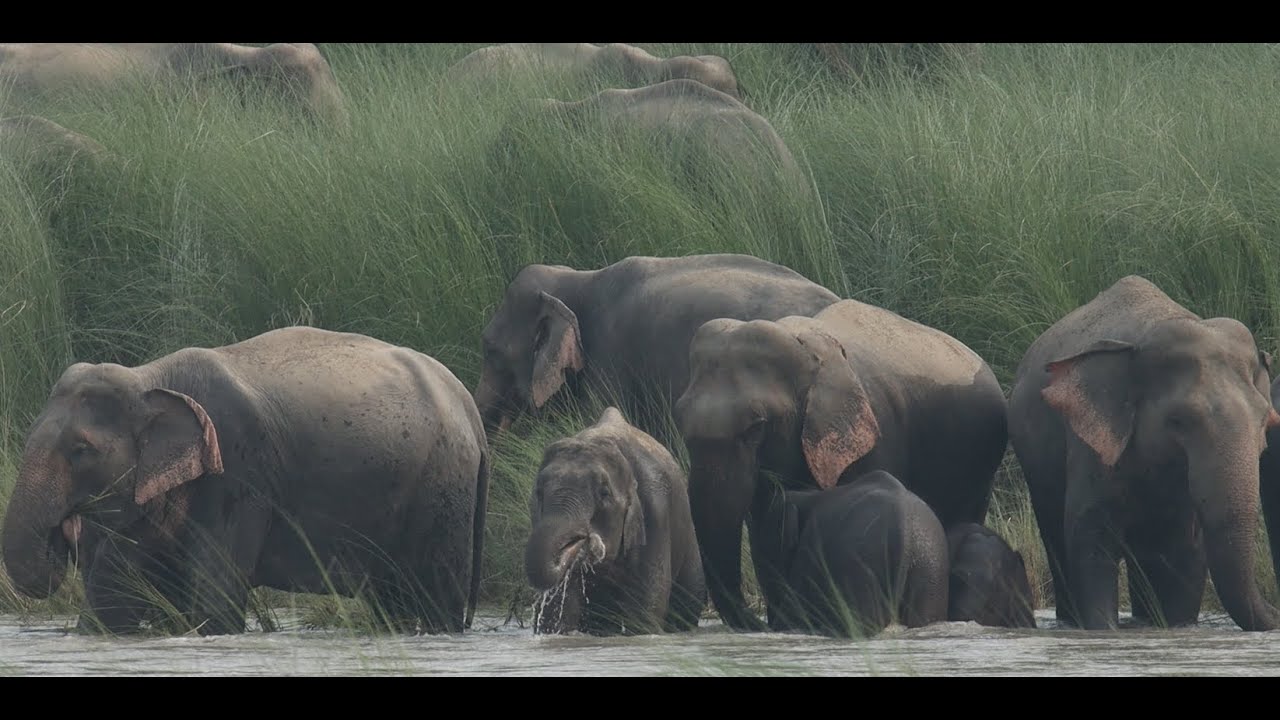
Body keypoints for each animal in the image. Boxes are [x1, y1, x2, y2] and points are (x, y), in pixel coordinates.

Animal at [1, 326, 489, 636]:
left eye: (81, 450)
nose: (65, 535)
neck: (149, 377)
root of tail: (469, 407)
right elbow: (114, 595)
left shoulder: (239, 472)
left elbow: (213, 600)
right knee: (394, 601)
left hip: (444, 486)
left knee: (437, 593)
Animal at [525, 406, 706, 635]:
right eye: (539, 493)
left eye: (604, 493)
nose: (577, 540)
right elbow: (559, 611)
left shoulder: (655, 514)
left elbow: (643, 611)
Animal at [1007, 274, 1280, 632]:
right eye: (1178, 421)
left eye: (1264, 420)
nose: (1274, 612)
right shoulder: (1090, 446)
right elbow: (1089, 536)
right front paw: (1104, 629)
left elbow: (1188, 550)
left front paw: (1175, 626)